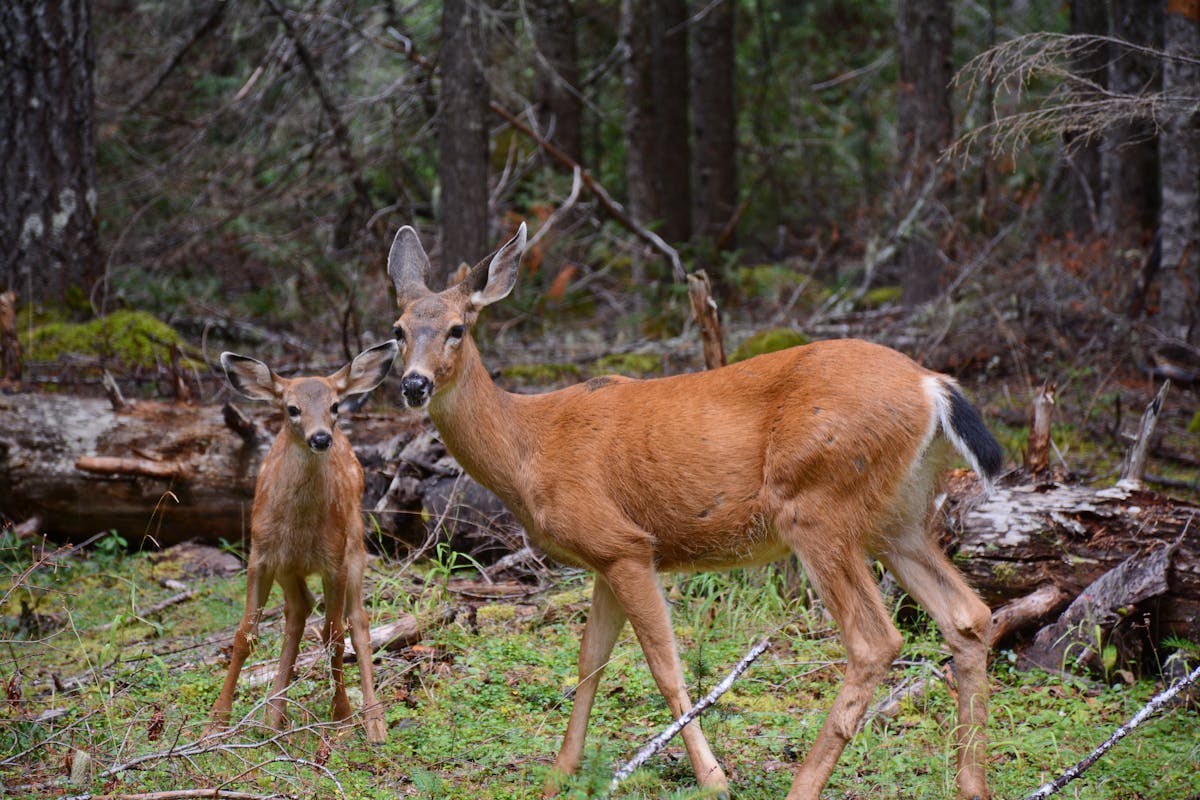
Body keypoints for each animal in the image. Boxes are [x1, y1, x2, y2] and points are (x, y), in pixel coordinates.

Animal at [207, 340, 398, 744]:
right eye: (291, 409)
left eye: (335, 406)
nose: (321, 437)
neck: (299, 530)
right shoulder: (260, 555)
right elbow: (244, 634)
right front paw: (216, 722)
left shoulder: (335, 560)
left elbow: (335, 636)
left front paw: (342, 716)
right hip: (289, 571)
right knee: (298, 611)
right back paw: (272, 716)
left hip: (356, 548)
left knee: (358, 622)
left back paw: (373, 721)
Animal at [386, 223, 1002, 800]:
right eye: (397, 331)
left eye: (457, 329)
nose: (414, 384)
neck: (528, 448)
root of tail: (932, 385)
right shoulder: (607, 556)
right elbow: (590, 662)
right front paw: (558, 776)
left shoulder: (625, 545)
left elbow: (665, 667)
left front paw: (713, 778)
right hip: (896, 518)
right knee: (968, 616)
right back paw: (972, 784)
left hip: (819, 505)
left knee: (875, 640)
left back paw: (803, 785)